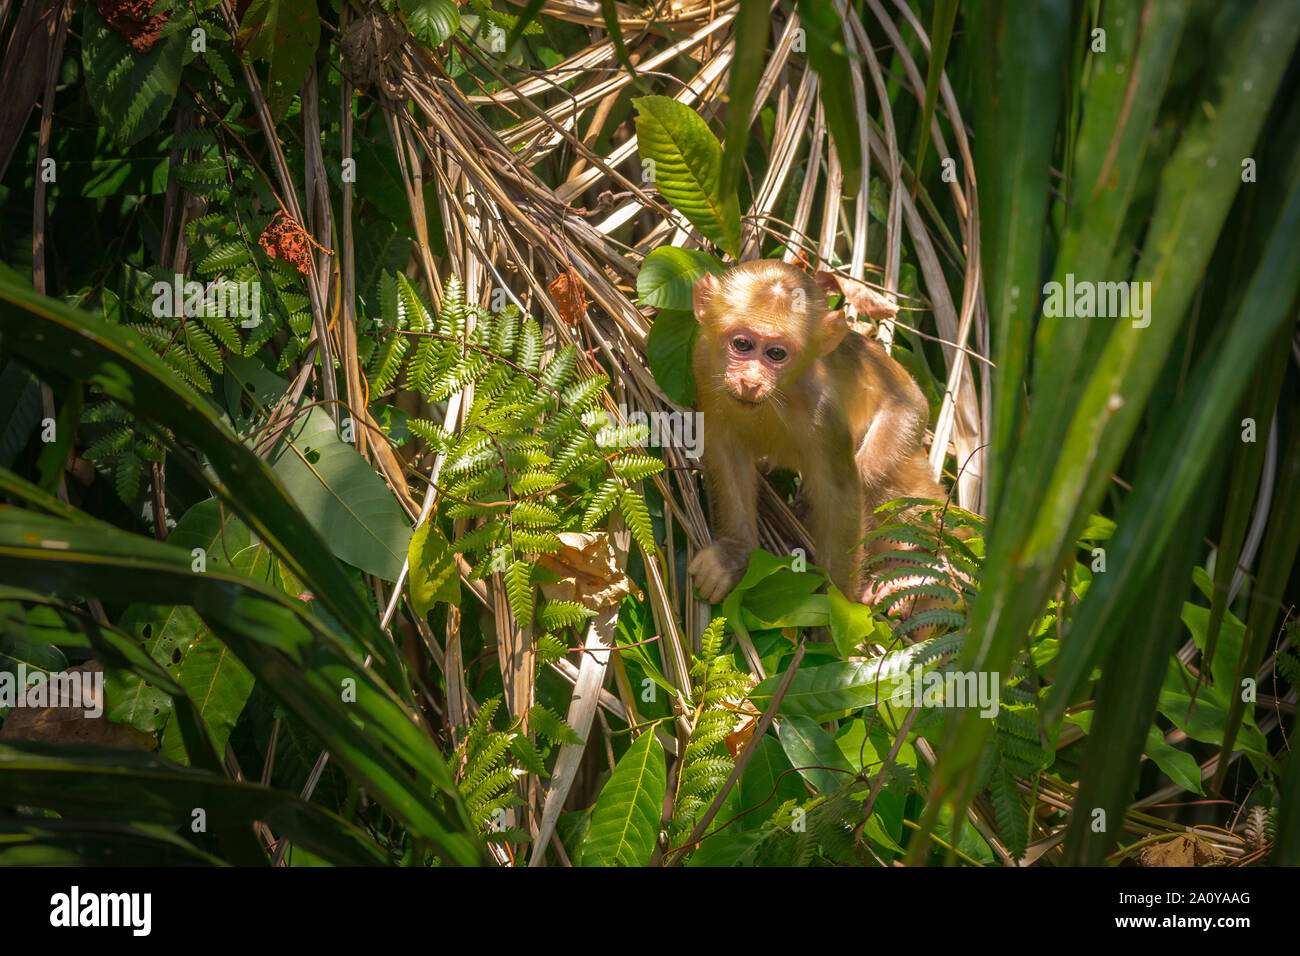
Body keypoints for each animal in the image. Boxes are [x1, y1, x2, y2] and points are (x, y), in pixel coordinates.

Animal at [687, 259, 946, 607]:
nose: (750, 382)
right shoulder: (702, 362)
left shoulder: (822, 409)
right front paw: (733, 555)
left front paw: (837, 605)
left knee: (874, 478)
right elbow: (726, 454)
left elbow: (841, 497)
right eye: (742, 344)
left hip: (907, 416)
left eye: (776, 354)